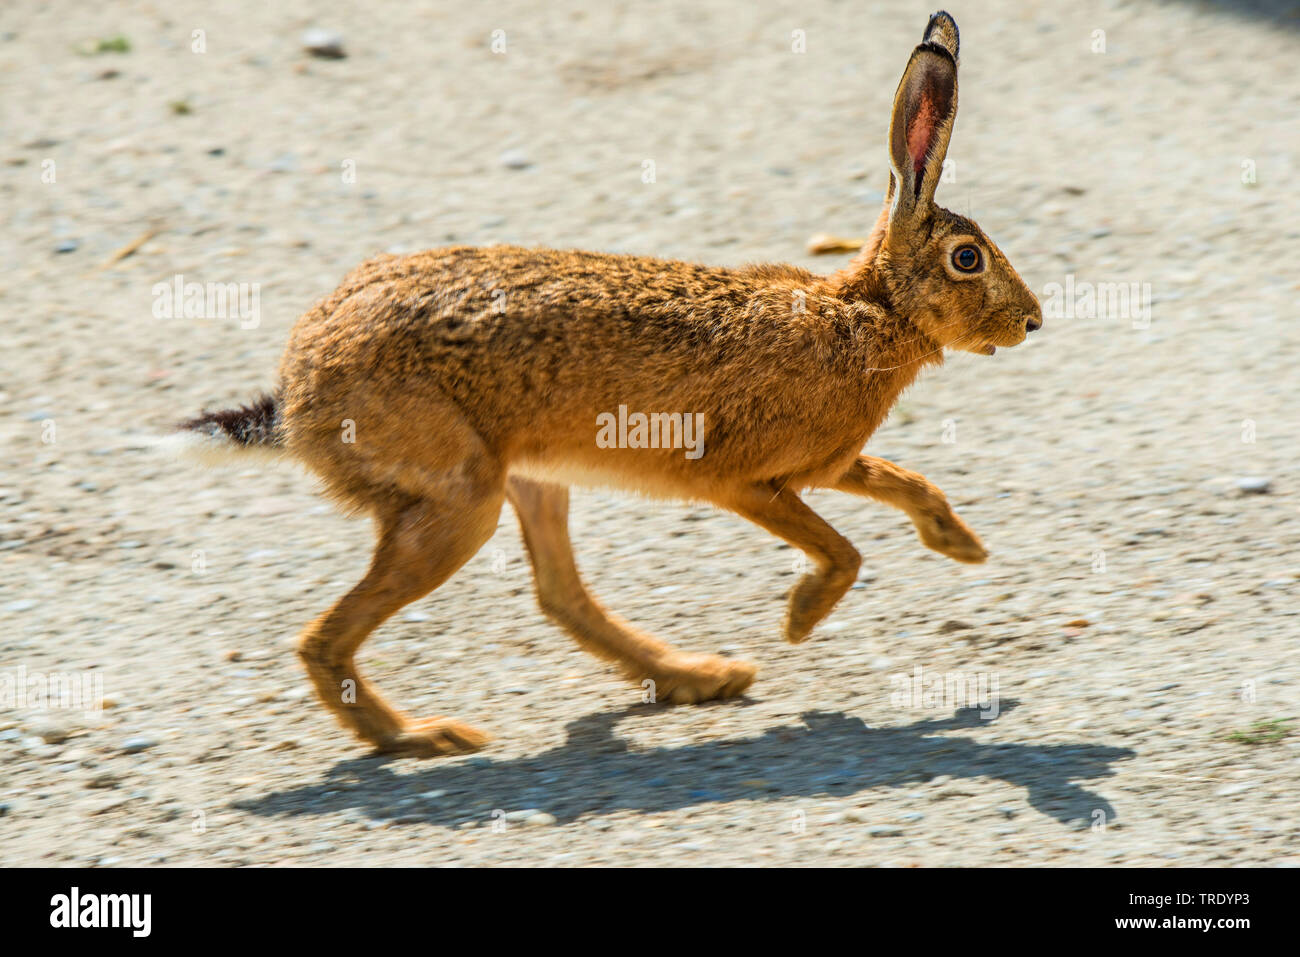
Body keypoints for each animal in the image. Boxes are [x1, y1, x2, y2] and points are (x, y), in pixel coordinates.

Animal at [175, 11, 1042, 756]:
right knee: (325, 637)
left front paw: (961, 546)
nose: (1032, 321)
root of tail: (297, 393)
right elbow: (843, 549)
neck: (865, 309)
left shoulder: (827, 465)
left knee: (560, 594)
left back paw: (699, 676)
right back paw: (422, 737)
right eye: (968, 258)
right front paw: (800, 619)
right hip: (460, 498)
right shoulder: (744, 481)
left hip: (528, 479)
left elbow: (906, 481)